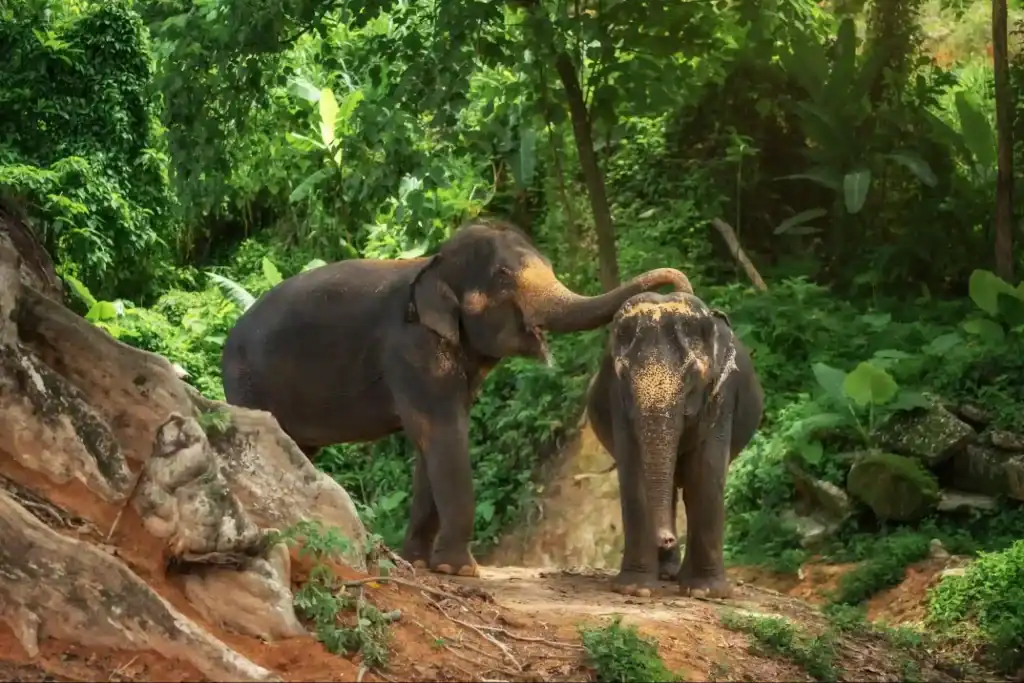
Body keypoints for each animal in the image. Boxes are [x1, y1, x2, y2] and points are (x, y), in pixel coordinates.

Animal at [221, 217, 693, 579]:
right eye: (504, 277)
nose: (678, 287)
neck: (432, 264)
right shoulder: (413, 348)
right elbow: (442, 432)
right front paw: (459, 570)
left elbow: (432, 444)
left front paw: (419, 563)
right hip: (244, 381)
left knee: (300, 447)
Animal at [585, 290, 763, 599]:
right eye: (624, 376)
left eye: (692, 375)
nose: (667, 538)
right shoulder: (617, 398)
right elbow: (633, 473)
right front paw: (635, 589)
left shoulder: (722, 395)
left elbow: (705, 474)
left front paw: (707, 592)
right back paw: (667, 574)